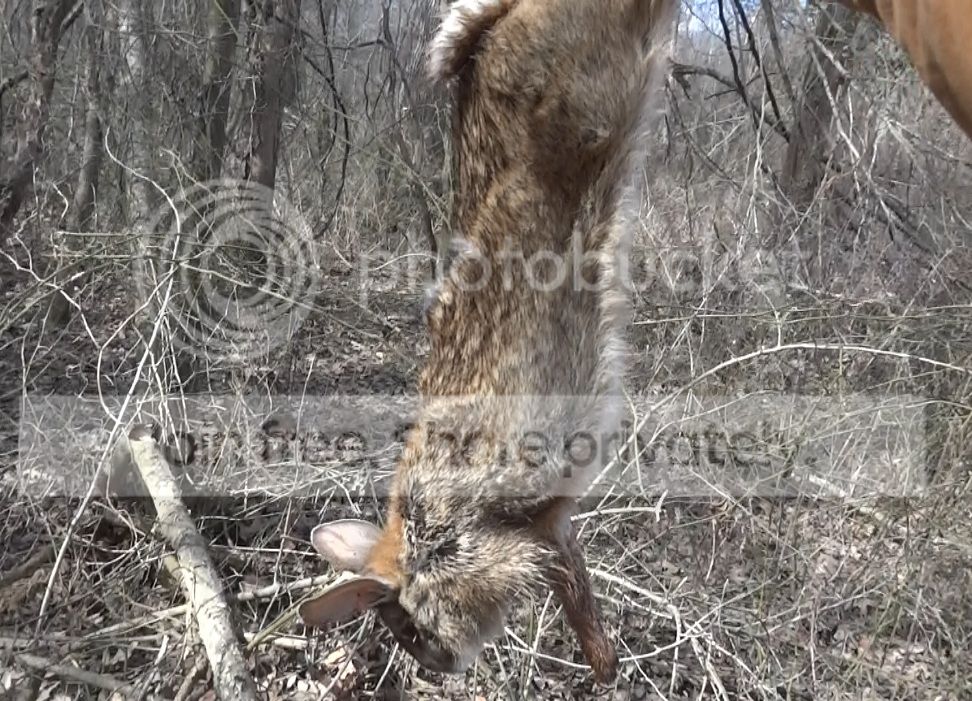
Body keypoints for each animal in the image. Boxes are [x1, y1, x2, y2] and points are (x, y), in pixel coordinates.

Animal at [299, 0, 677, 685]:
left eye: (407, 626)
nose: (439, 665)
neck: (433, 532)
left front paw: (606, 667)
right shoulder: (552, 523)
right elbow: (575, 587)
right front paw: (606, 666)